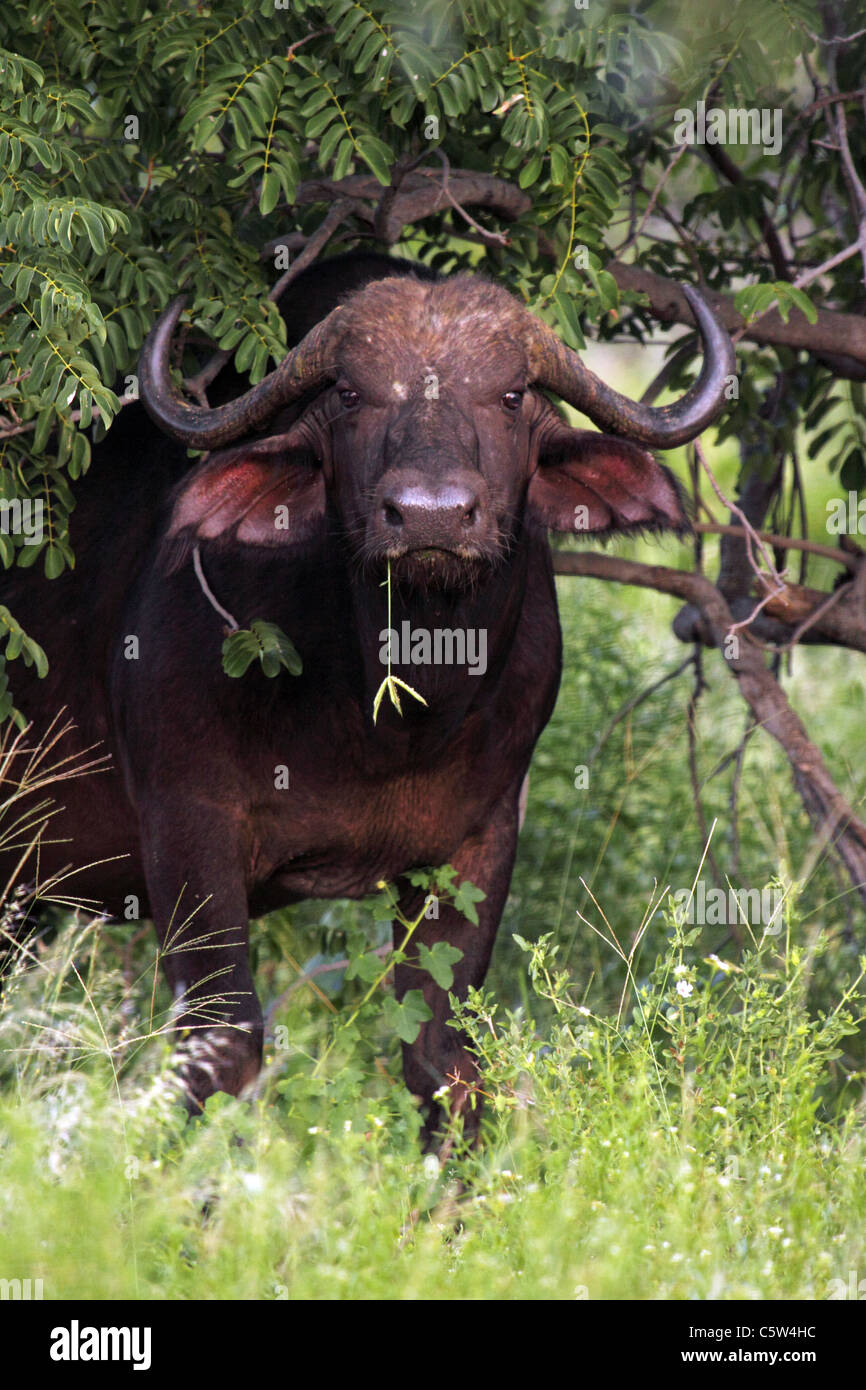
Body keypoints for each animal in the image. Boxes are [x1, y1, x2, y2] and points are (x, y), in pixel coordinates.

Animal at [2, 252, 733, 1143]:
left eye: (511, 394)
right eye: (351, 395)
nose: (430, 516)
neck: (391, 718)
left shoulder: (480, 840)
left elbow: (444, 1057)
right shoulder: (187, 827)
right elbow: (221, 1045)